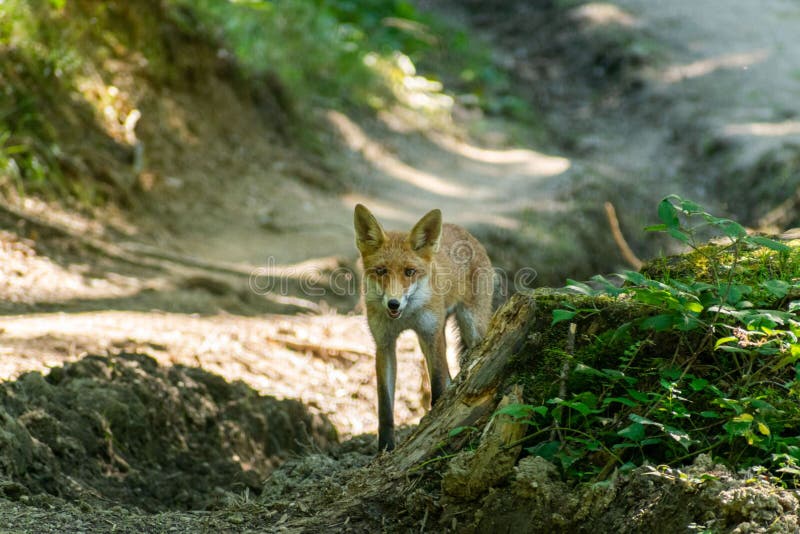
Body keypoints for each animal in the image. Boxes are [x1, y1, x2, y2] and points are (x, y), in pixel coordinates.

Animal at [354, 204, 494, 451]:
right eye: (381, 271)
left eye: (409, 272)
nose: (393, 303)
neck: (406, 316)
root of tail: (463, 231)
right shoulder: (384, 344)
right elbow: (385, 406)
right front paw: (385, 449)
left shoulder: (430, 334)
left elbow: (437, 384)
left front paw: (434, 421)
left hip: (471, 328)